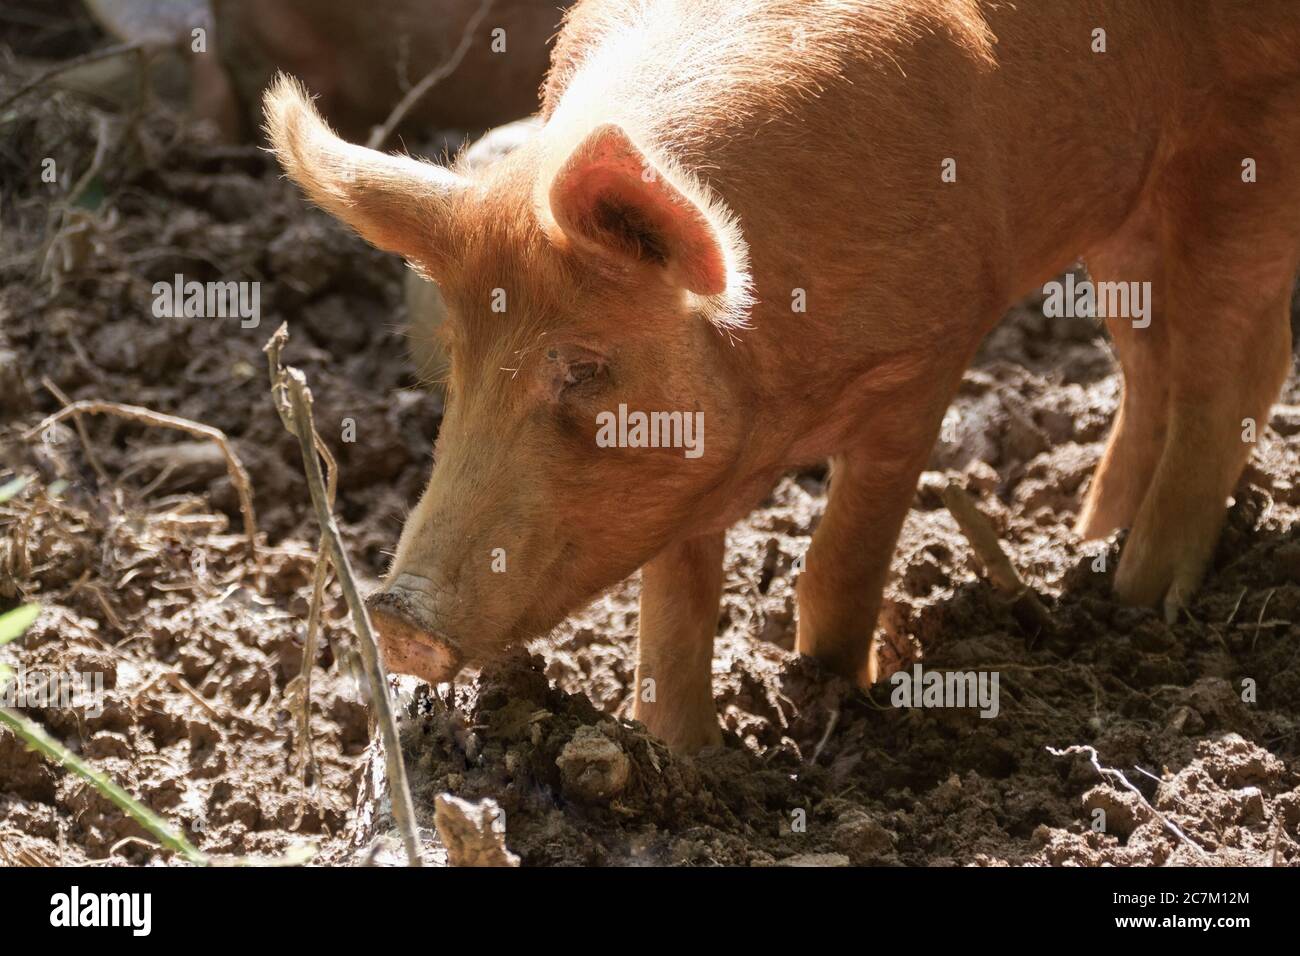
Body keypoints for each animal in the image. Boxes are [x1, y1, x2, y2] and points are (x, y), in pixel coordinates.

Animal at [266, 0, 1300, 753]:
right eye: (456, 366)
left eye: (585, 367)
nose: (396, 613)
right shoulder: (685, 468)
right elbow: (677, 603)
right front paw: (679, 757)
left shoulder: (927, 354)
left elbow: (841, 556)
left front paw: (833, 691)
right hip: (1129, 203)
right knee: (1164, 368)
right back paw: (1089, 546)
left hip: (1250, 142)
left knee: (1227, 365)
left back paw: (1137, 596)